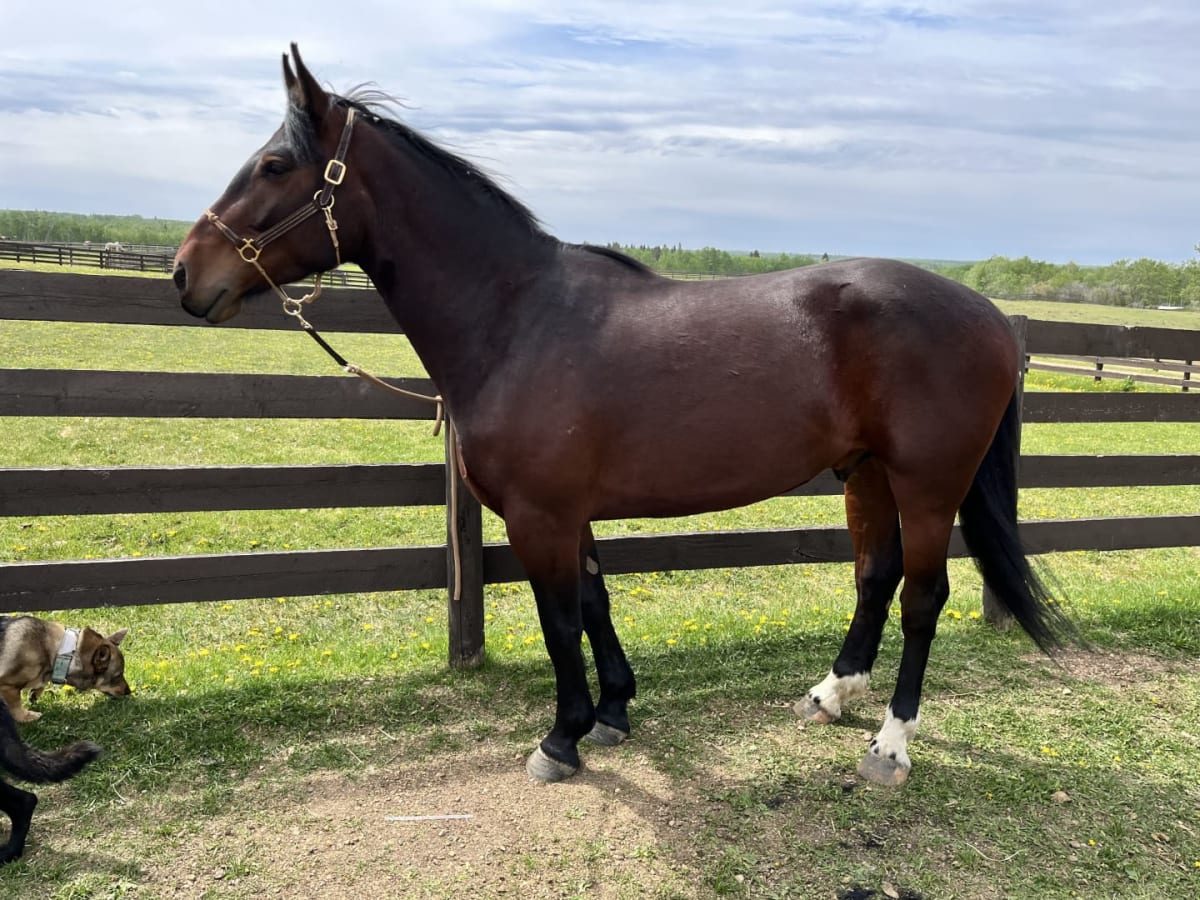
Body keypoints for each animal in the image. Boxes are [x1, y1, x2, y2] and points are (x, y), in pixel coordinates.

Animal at [172, 45, 1071, 786]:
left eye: (274, 164)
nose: (186, 275)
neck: (517, 318)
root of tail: (991, 315)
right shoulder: (570, 513)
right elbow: (596, 603)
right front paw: (612, 712)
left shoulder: (538, 516)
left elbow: (559, 619)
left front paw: (561, 737)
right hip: (867, 473)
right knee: (875, 576)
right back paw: (830, 694)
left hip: (929, 482)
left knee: (924, 596)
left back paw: (890, 744)